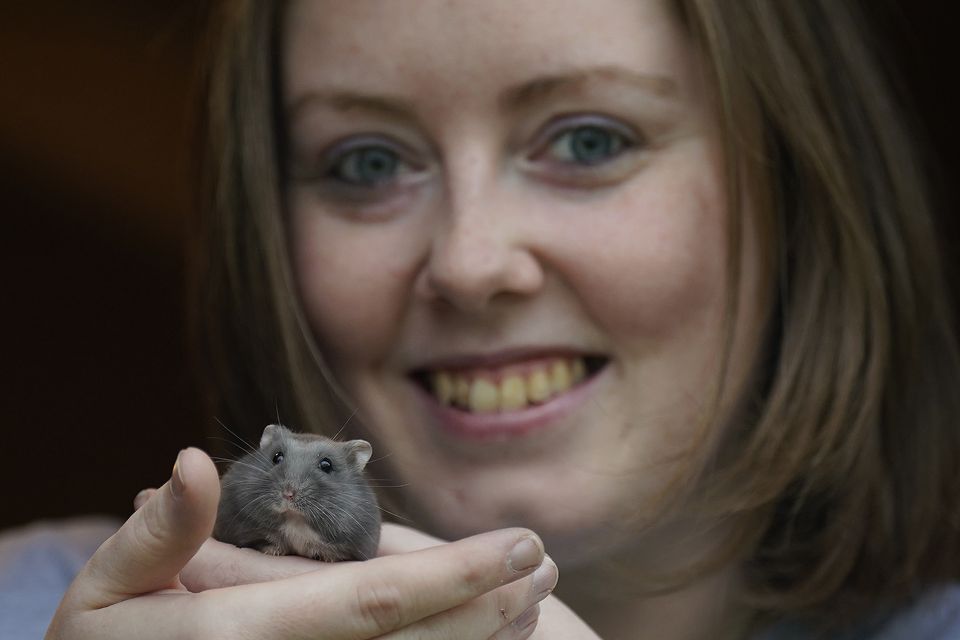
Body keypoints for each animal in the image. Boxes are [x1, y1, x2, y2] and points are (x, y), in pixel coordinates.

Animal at [214, 424, 381, 562]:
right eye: (277, 457)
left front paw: (326, 558)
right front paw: (272, 551)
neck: (295, 519)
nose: (288, 494)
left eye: (326, 465)